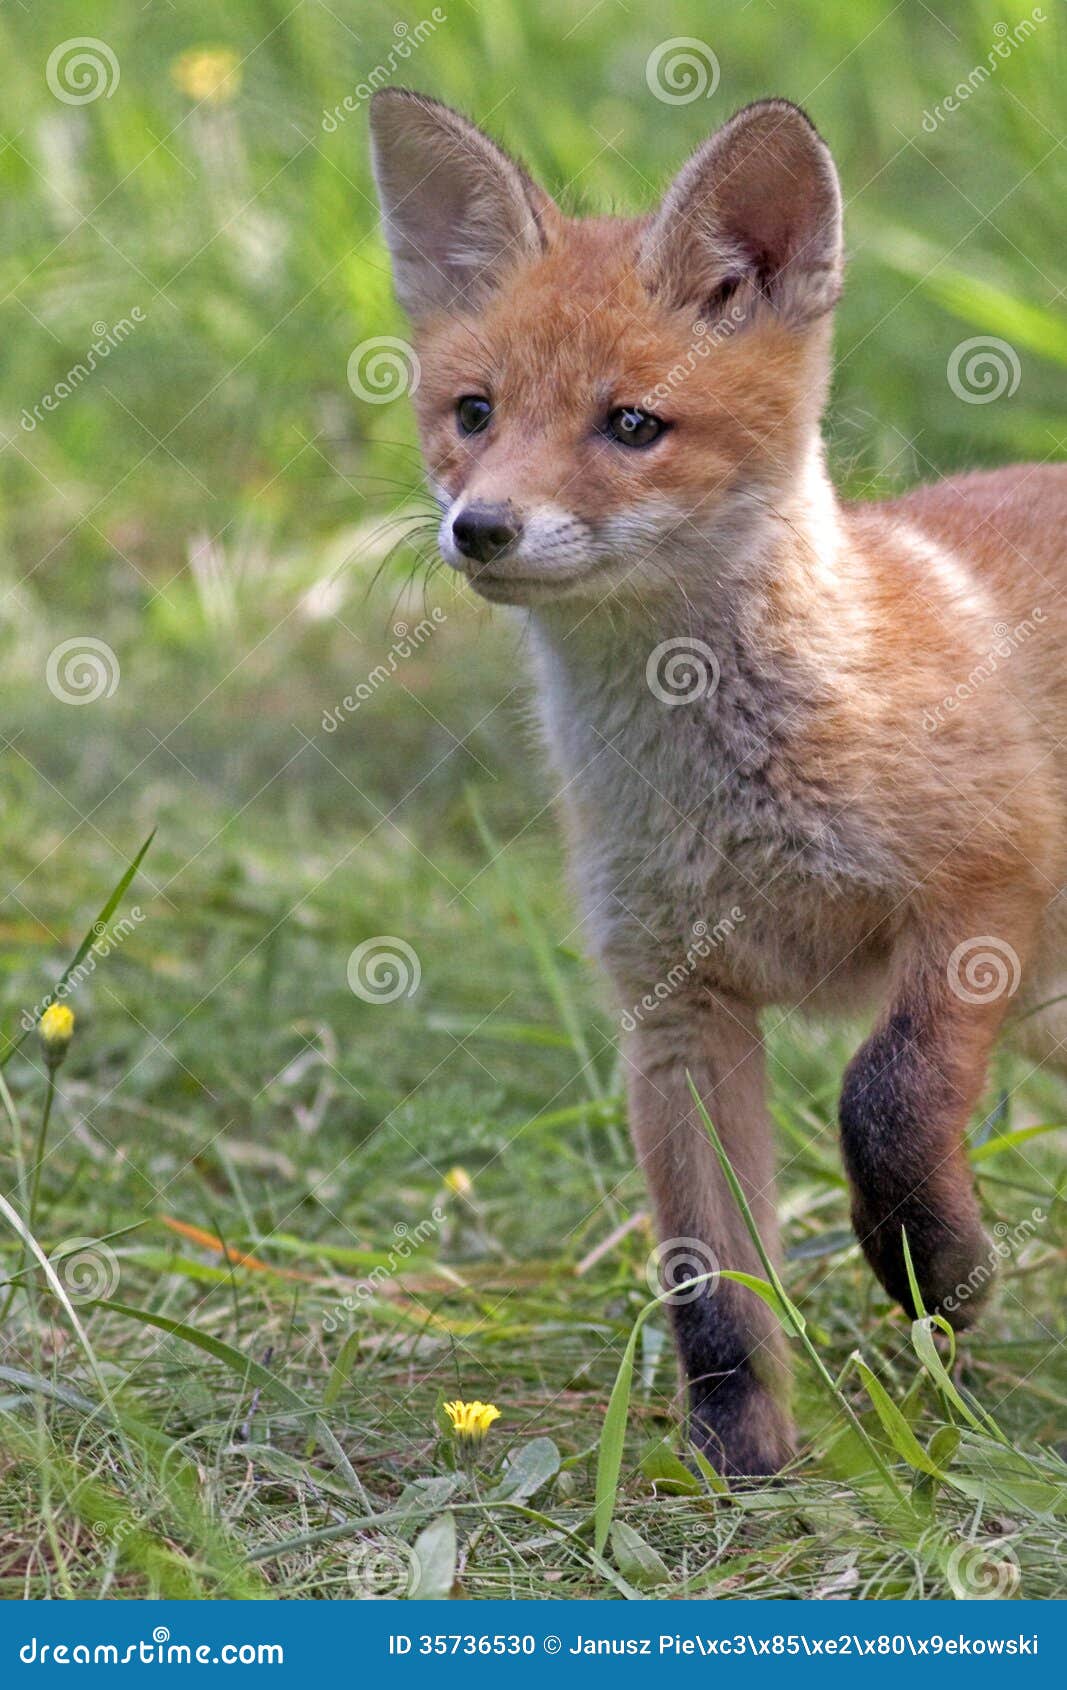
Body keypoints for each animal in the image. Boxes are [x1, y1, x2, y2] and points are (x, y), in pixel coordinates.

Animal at [369, 89, 1067, 1477]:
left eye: (631, 424)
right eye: (473, 412)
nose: (480, 528)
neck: (726, 801)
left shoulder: (986, 890)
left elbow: (885, 1095)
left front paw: (939, 1269)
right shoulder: (673, 1005)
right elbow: (707, 1279)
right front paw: (739, 1458)